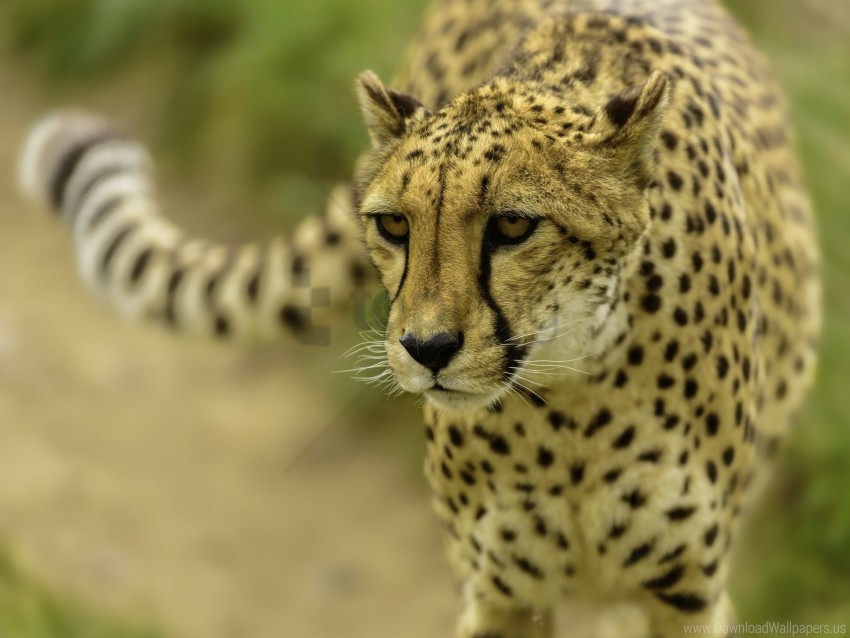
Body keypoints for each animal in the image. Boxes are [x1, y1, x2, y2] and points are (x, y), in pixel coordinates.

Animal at [17, 0, 821, 636]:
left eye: (513, 226)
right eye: (395, 226)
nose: (427, 348)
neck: (572, 406)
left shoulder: (682, 595)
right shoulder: (502, 592)